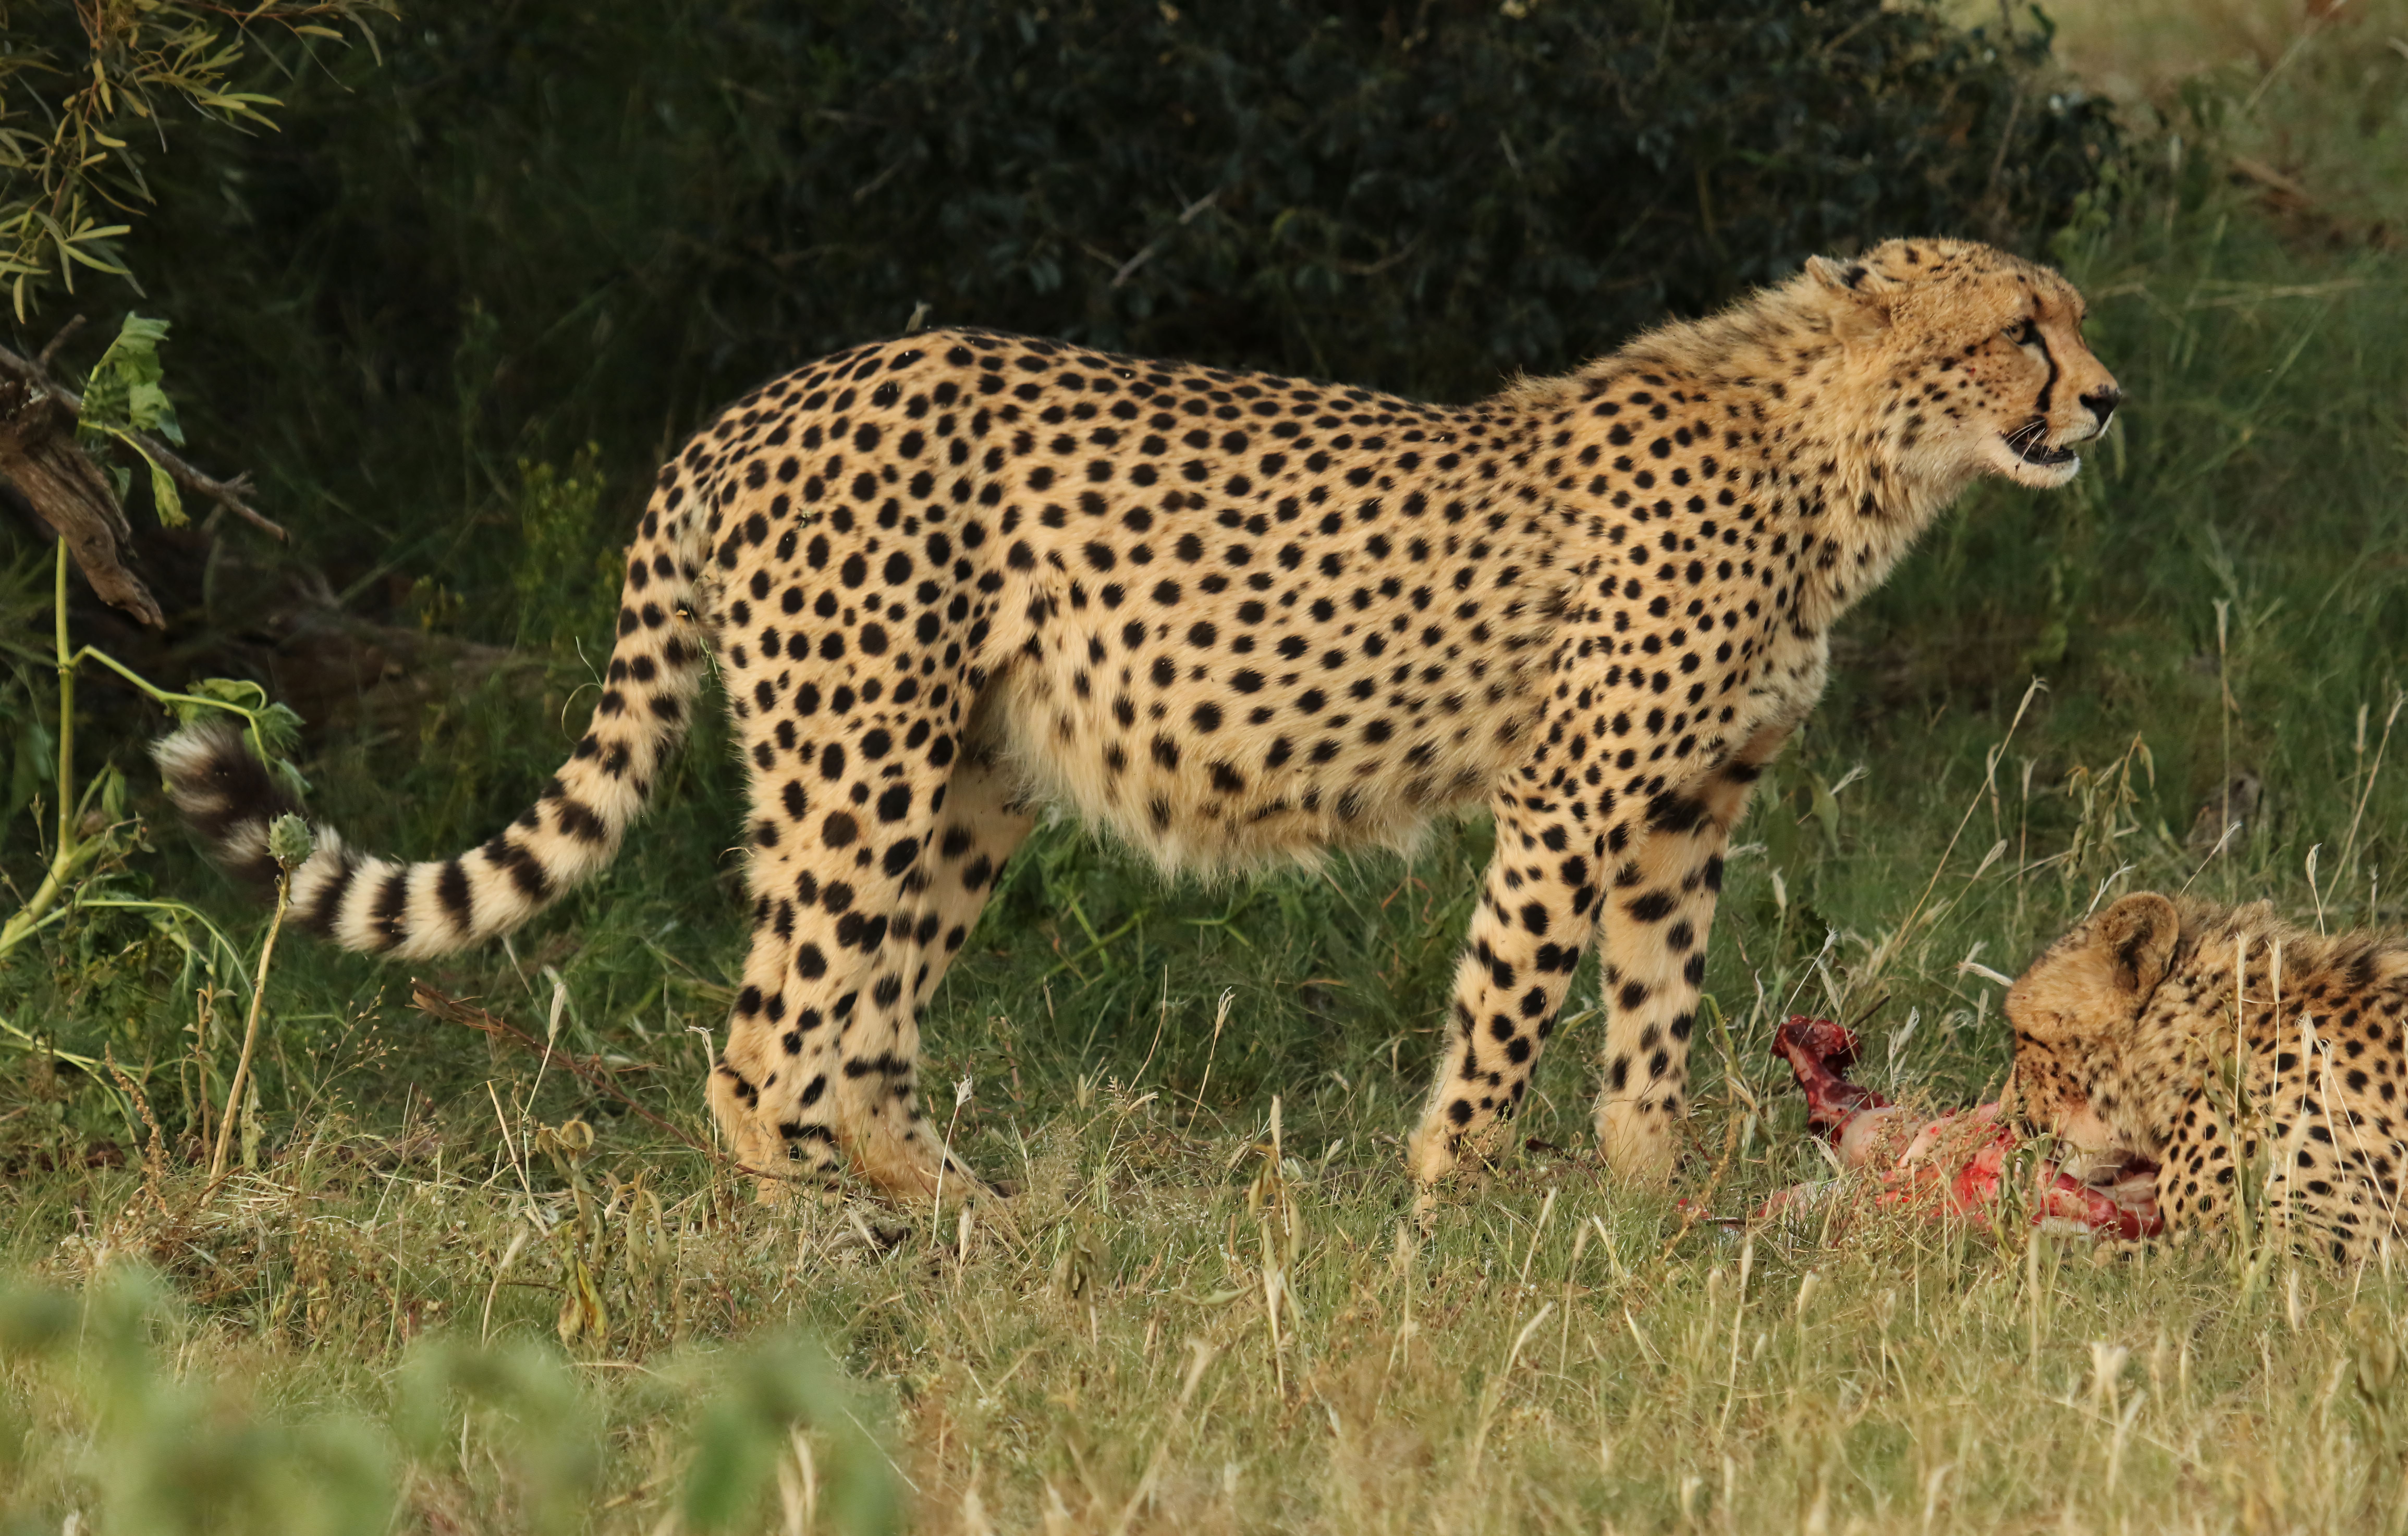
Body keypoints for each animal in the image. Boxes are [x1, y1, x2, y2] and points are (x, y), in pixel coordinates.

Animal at [159, 235, 2119, 1204]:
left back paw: (969, 1223)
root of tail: (766, 400)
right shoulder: (1572, 799)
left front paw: (1656, 1217)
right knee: (765, 1036)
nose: (2103, 402)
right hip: (856, 765)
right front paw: (1453, 1219)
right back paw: (825, 1246)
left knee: (865, 1030)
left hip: (967, 778)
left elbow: (1650, 1029)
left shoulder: (1684, 814)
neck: (1848, 457)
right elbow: (1508, 1015)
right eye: (2022, 326)